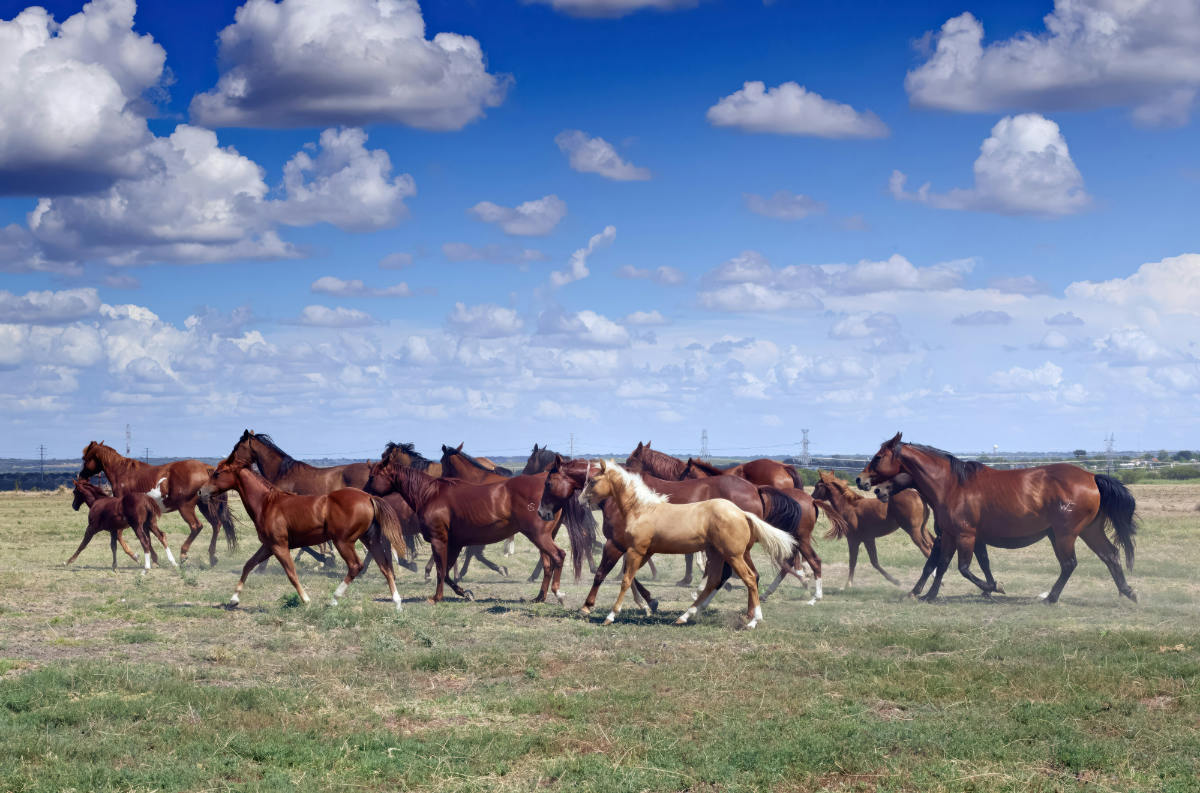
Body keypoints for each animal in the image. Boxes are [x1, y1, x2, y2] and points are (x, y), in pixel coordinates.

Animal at [78, 441, 236, 566]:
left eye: (85, 458)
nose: (81, 476)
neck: (123, 474)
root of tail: (206, 468)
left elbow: (125, 535)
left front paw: (137, 557)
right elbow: (147, 535)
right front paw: (154, 559)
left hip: (186, 508)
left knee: (196, 526)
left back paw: (183, 554)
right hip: (204, 506)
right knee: (216, 525)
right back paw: (212, 557)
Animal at [199, 456, 407, 610]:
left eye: (217, 473)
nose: (201, 492)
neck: (267, 503)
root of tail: (369, 497)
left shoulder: (279, 546)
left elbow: (291, 573)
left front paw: (306, 599)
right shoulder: (268, 545)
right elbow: (248, 565)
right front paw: (234, 599)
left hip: (344, 542)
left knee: (356, 566)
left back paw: (334, 598)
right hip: (369, 539)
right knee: (385, 566)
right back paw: (397, 602)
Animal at [364, 457, 574, 605]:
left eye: (373, 476)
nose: (363, 495)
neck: (430, 494)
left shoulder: (439, 540)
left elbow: (441, 570)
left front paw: (436, 597)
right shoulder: (455, 543)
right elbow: (446, 572)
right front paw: (465, 592)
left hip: (539, 536)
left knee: (558, 556)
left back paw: (558, 594)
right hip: (542, 537)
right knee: (547, 564)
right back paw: (539, 597)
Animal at [580, 461, 796, 628]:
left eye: (593, 481)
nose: (581, 500)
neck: (643, 510)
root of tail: (742, 513)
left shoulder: (635, 550)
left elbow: (624, 579)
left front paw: (608, 615)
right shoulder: (643, 552)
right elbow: (630, 577)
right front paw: (647, 604)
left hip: (733, 555)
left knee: (750, 578)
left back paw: (752, 621)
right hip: (717, 553)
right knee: (715, 580)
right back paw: (685, 616)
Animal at [856, 432, 1138, 603]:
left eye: (878, 457)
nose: (862, 481)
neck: (952, 485)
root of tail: (1092, 477)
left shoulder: (966, 536)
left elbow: (963, 568)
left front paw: (994, 588)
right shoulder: (950, 536)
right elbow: (941, 565)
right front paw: (928, 595)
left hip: (1064, 534)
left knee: (1069, 564)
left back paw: (1050, 598)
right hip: (1089, 530)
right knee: (1110, 555)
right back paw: (1128, 592)